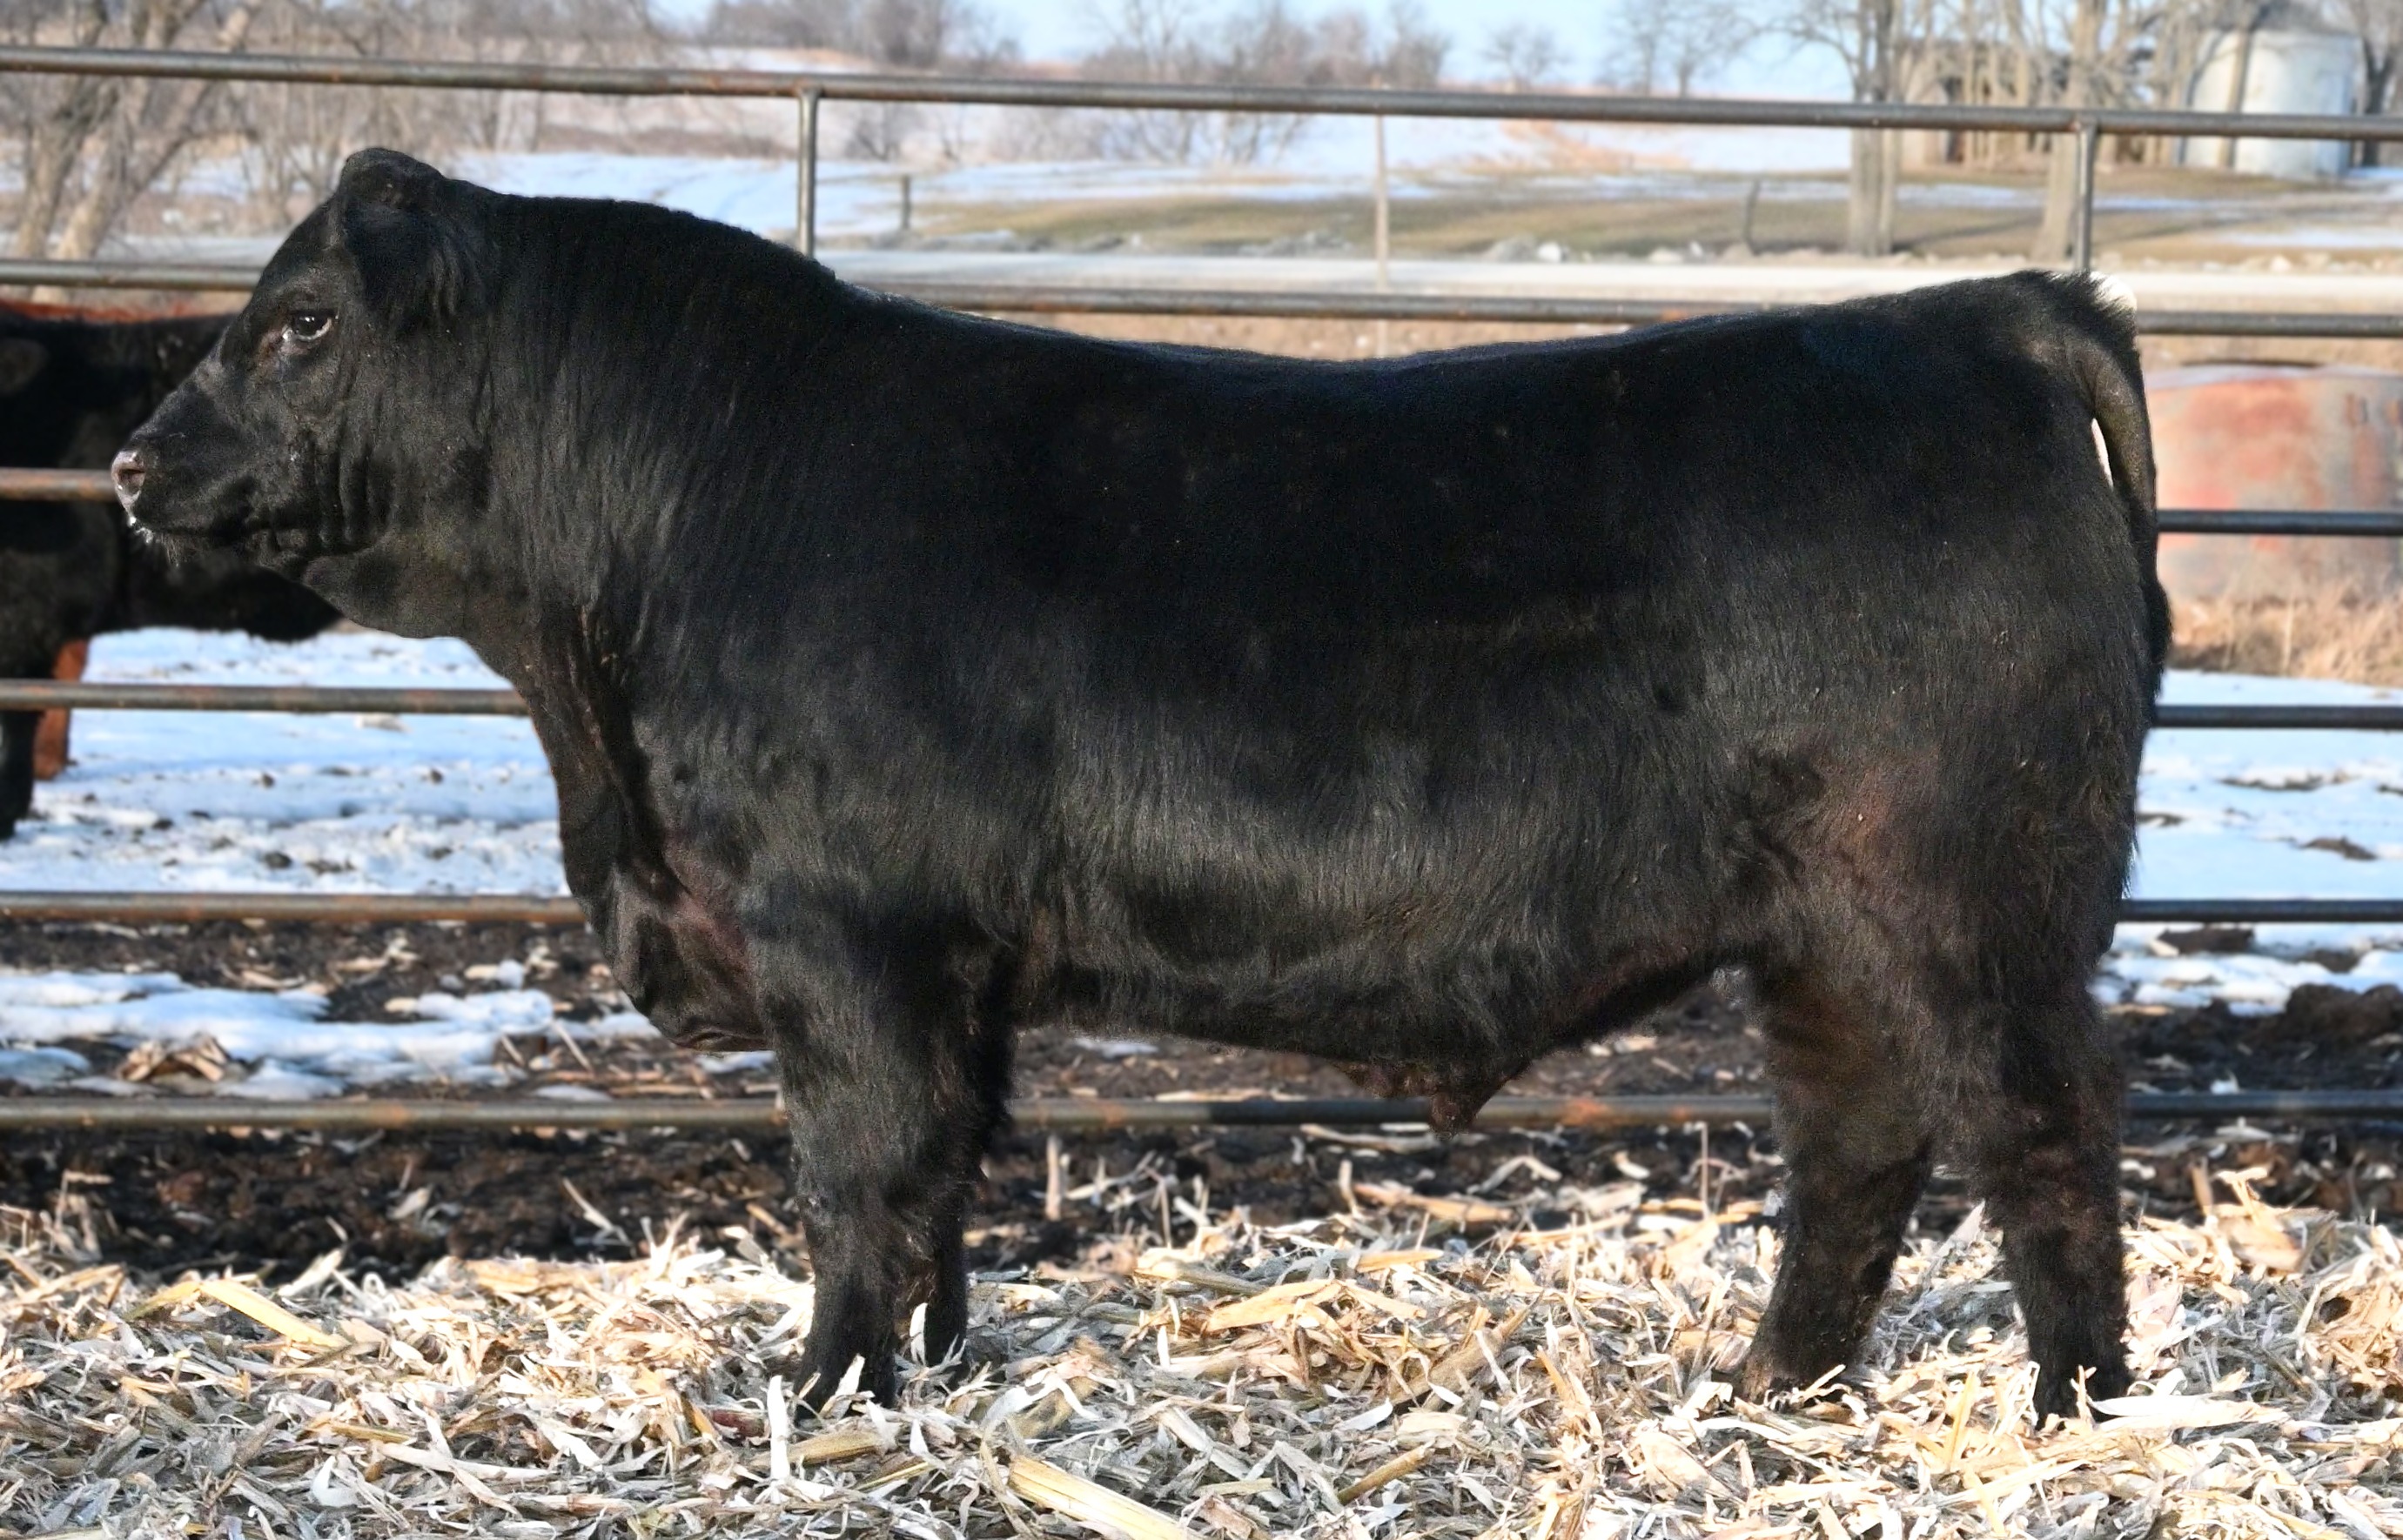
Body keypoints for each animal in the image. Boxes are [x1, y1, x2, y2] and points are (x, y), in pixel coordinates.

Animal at [116, 150, 2165, 1420]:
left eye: (301, 321)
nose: (134, 465)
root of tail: (1985, 311)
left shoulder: (845, 927)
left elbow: (857, 1163)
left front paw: (817, 1388)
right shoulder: (942, 959)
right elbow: (943, 1165)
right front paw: (922, 1375)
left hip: (1972, 895)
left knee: (2042, 1132)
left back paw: (2070, 1413)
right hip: (1822, 926)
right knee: (1858, 1143)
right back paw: (1770, 1392)